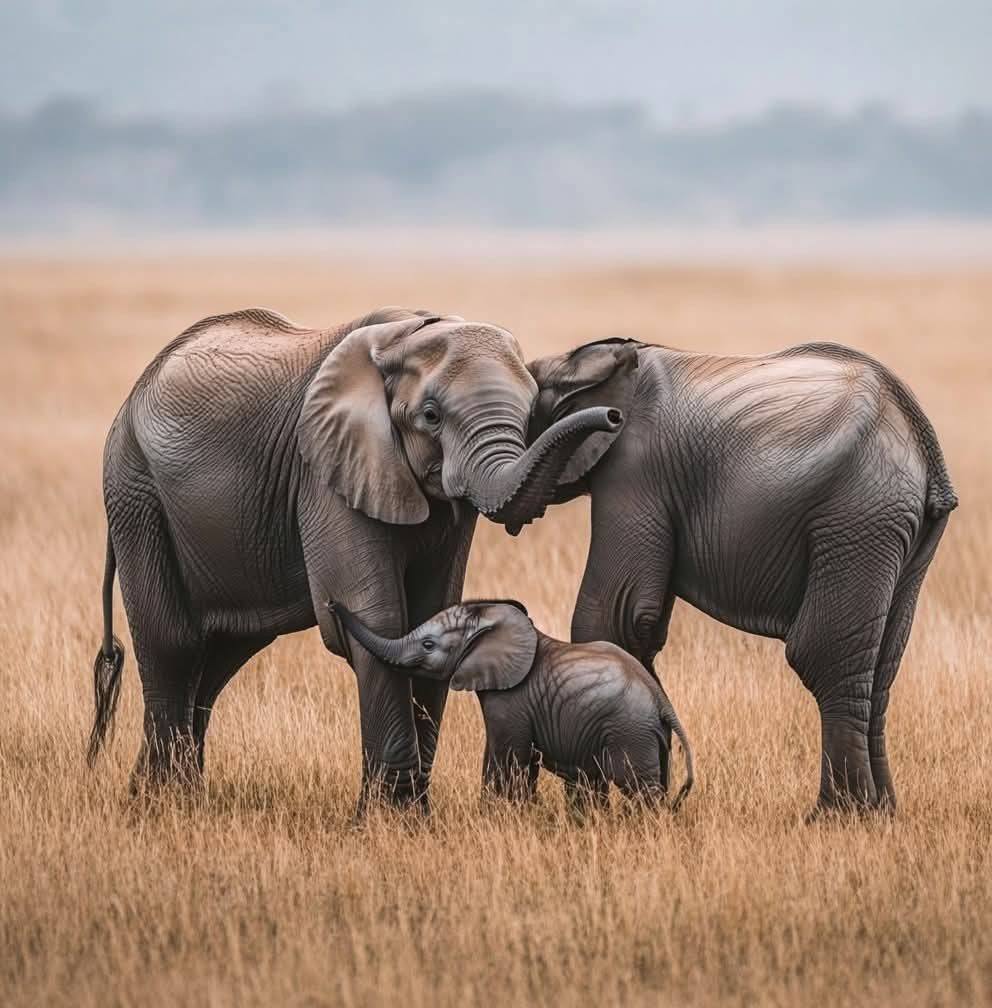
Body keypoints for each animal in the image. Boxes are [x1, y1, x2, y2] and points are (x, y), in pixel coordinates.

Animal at [86, 305, 622, 811]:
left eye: (532, 413)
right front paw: (392, 821)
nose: (613, 416)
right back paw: (160, 804)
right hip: (136, 492)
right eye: (430, 415)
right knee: (172, 643)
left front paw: (410, 817)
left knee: (220, 654)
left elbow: (432, 612)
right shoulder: (326, 469)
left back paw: (173, 797)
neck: (407, 335)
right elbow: (382, 617)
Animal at [329, 600, 694, 809]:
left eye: (428, 645)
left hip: (629, 731)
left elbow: (508, 757)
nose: (332, 604)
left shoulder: (512, 699)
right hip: (647, 735)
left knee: (640, 789)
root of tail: (662, 702)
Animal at [524, 337, 957, 813]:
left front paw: (600, 812)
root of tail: (925, 450)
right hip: (901, 536)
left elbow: (614, 619)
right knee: (881, 667)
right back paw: (882, 813)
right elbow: (637, 628)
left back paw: (836, 816)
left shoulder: (632, 472)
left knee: (824, 655)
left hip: (856, 518)